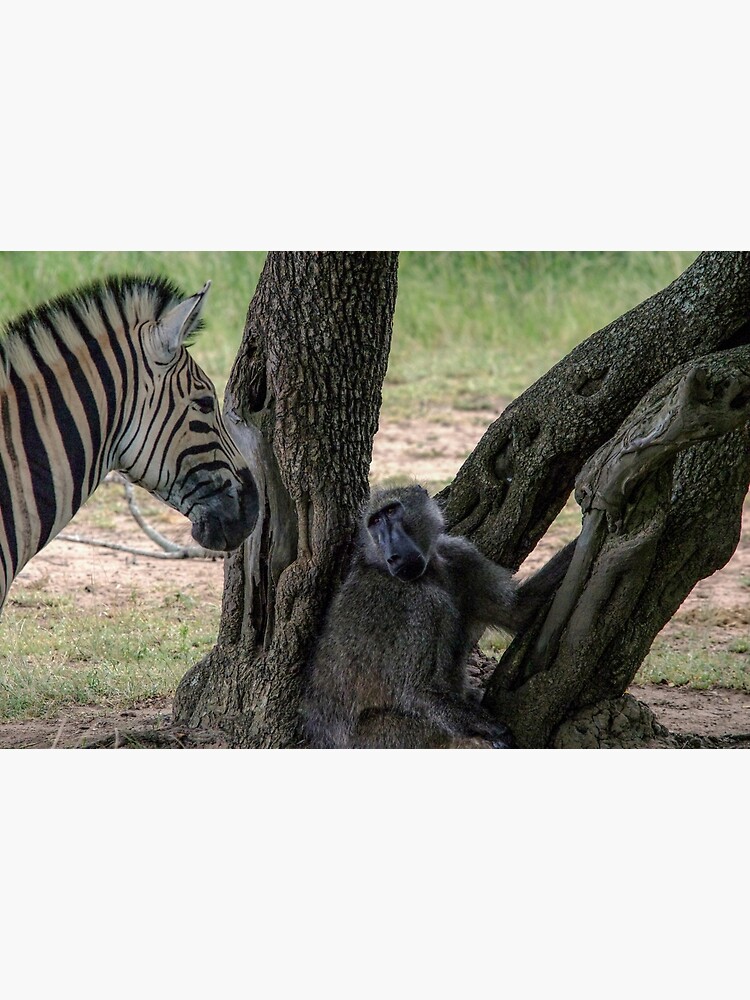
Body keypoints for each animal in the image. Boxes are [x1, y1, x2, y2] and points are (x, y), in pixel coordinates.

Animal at [300, 483, 576, 749]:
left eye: (391, 511)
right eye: (374, 522)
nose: (394, 556)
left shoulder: (461, 555)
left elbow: (518, 610)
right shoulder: (422, 605)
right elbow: (420, 691)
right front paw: (494, 730)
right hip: (375, 740)